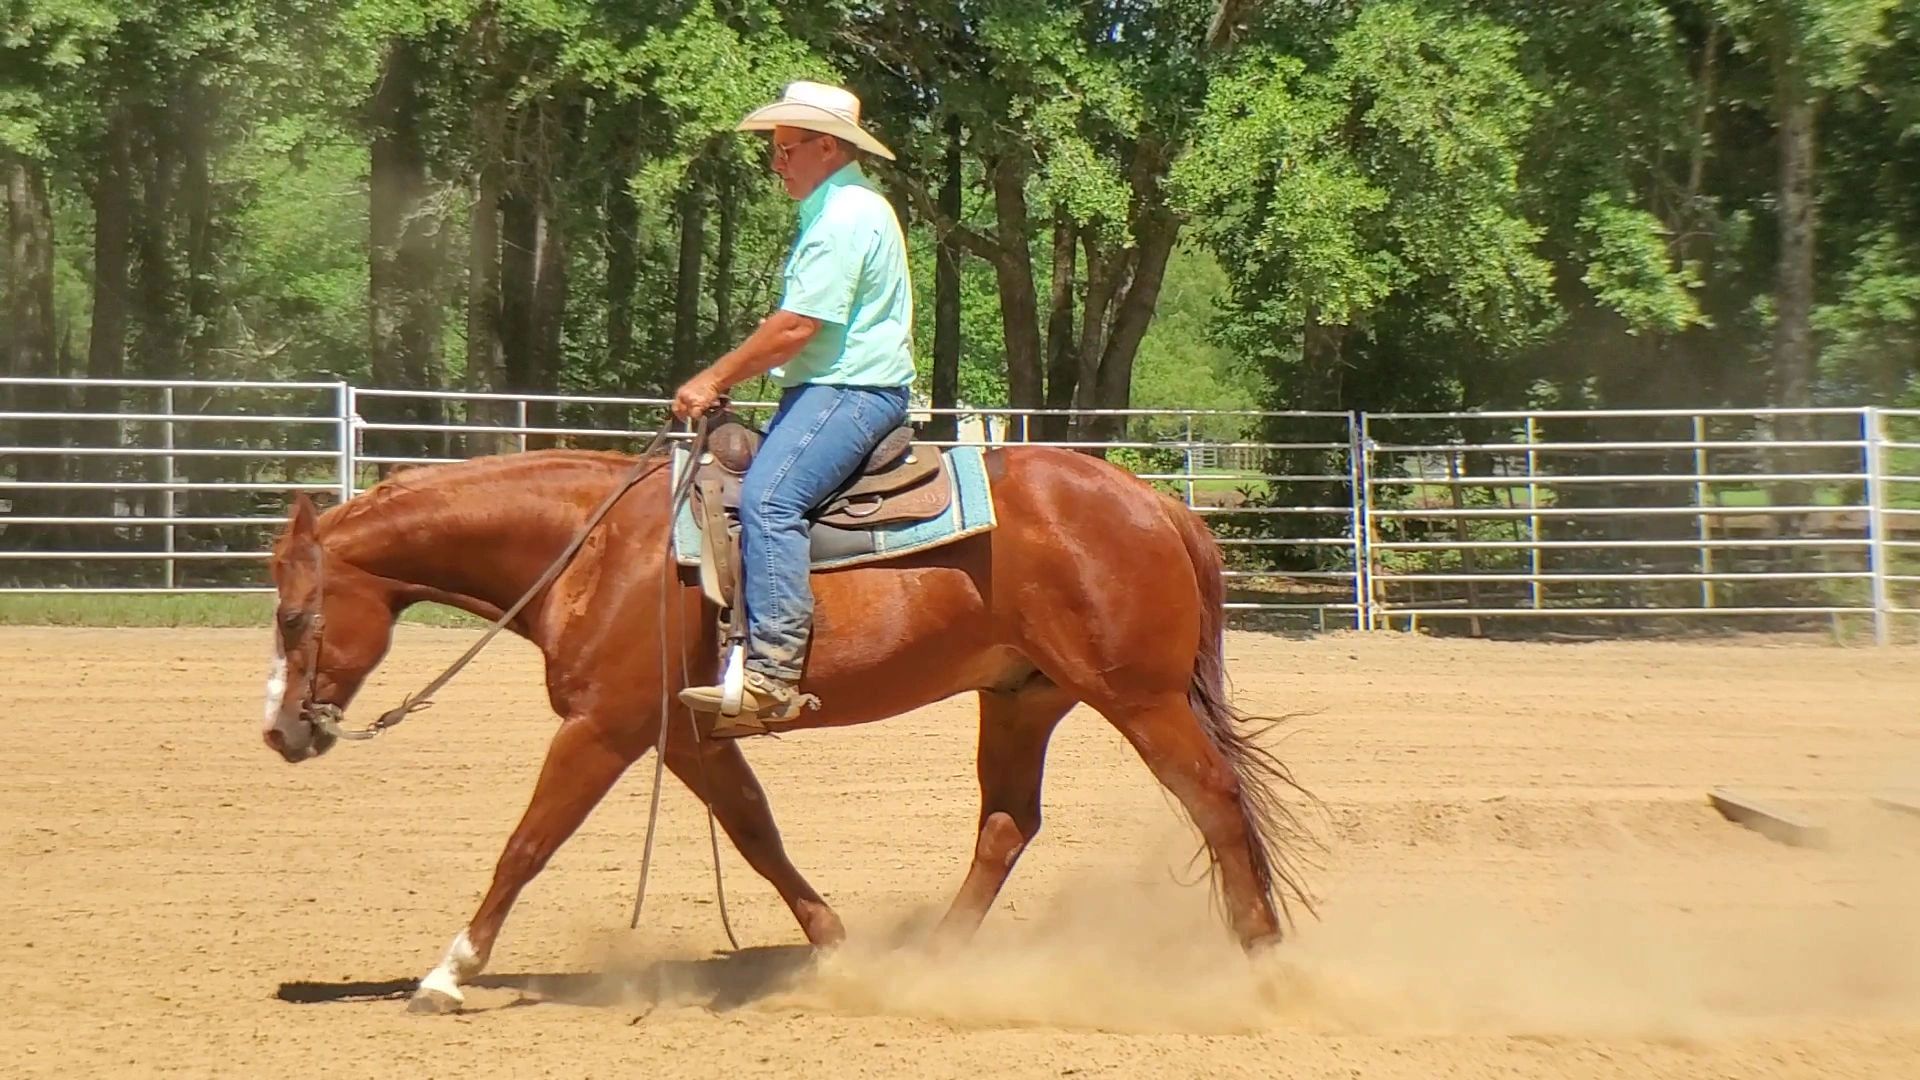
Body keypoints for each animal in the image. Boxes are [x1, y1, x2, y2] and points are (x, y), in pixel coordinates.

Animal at [260, 439, 1315, 1014]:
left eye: (295, 616)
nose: (279, 734)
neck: (597, 551)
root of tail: (1161, 506)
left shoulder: (602, 727)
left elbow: (526, 844)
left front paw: (447, 974)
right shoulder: (681, 736)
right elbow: (756, 835)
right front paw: (837, 947)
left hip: (1139, 699)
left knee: (1213, 800)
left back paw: (1265, 964)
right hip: (1023, 698)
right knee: (1008, 825)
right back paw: (930, 964)